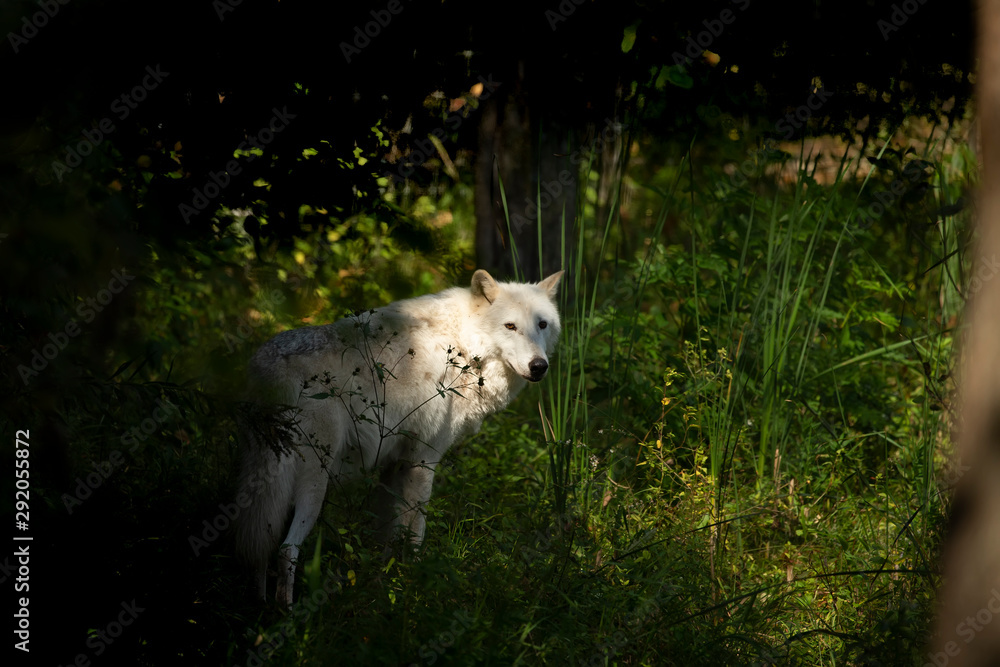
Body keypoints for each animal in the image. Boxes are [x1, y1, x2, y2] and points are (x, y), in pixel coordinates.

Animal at [234, 269, 563, 606]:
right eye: (510, 326)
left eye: (542, 324)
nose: (539, 366)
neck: (464, 347)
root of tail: (268, 367)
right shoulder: (423, 460)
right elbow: (414, 532)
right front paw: (414, 587)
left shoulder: (393, 465)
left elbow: (387, 537)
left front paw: (384, 587)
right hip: (314, 483)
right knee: (286, 550)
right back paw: (285, 611)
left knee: (257, 547)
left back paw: (259, 606)